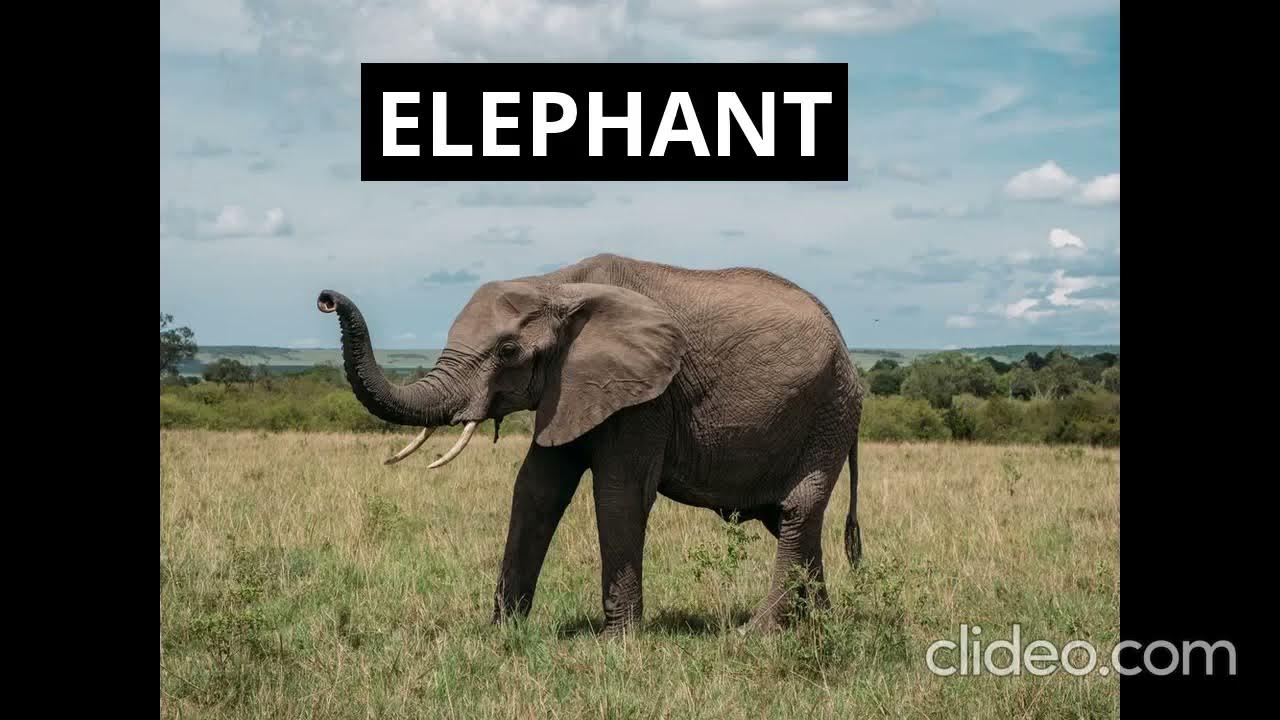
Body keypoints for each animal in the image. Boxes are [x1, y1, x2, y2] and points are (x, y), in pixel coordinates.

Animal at [317, 253, 864, 636]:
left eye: (508, 351)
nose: (326, 297)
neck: (558, 283)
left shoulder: (648, 395)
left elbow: (619, 494)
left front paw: (616, 642)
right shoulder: (570, 386)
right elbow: (536, 489)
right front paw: (501, 634)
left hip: (829, 410)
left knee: (797, 509)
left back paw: (758, 634)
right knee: (791, 520)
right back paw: (818, 624)